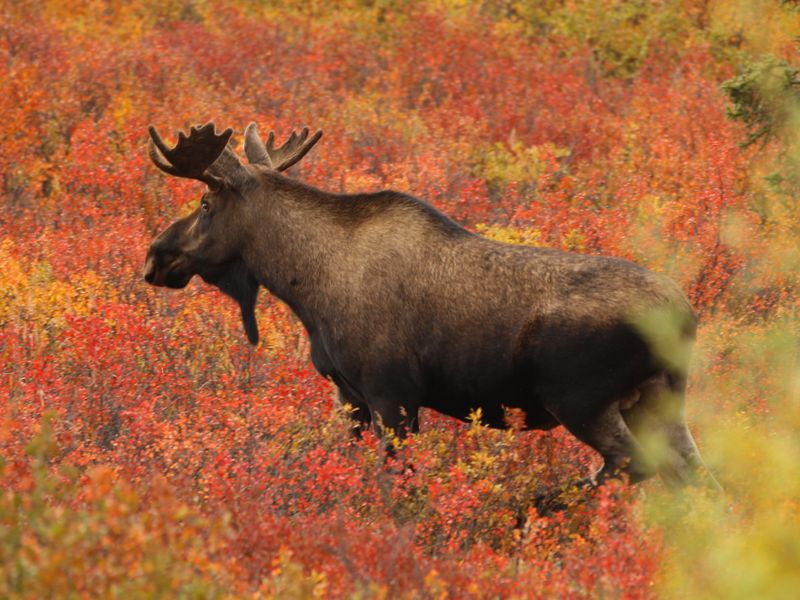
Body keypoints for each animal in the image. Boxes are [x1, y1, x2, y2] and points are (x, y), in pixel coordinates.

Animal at [143, 122, 721, 504]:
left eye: (204, 205)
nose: (156, 257)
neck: (305, 284)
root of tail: (685, 317)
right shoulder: (349, 396)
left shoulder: (392, 394)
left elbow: (397, 482)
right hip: (662, 401)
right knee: (696, 475)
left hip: (581, 399)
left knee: (632, 464)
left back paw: (539, 504)